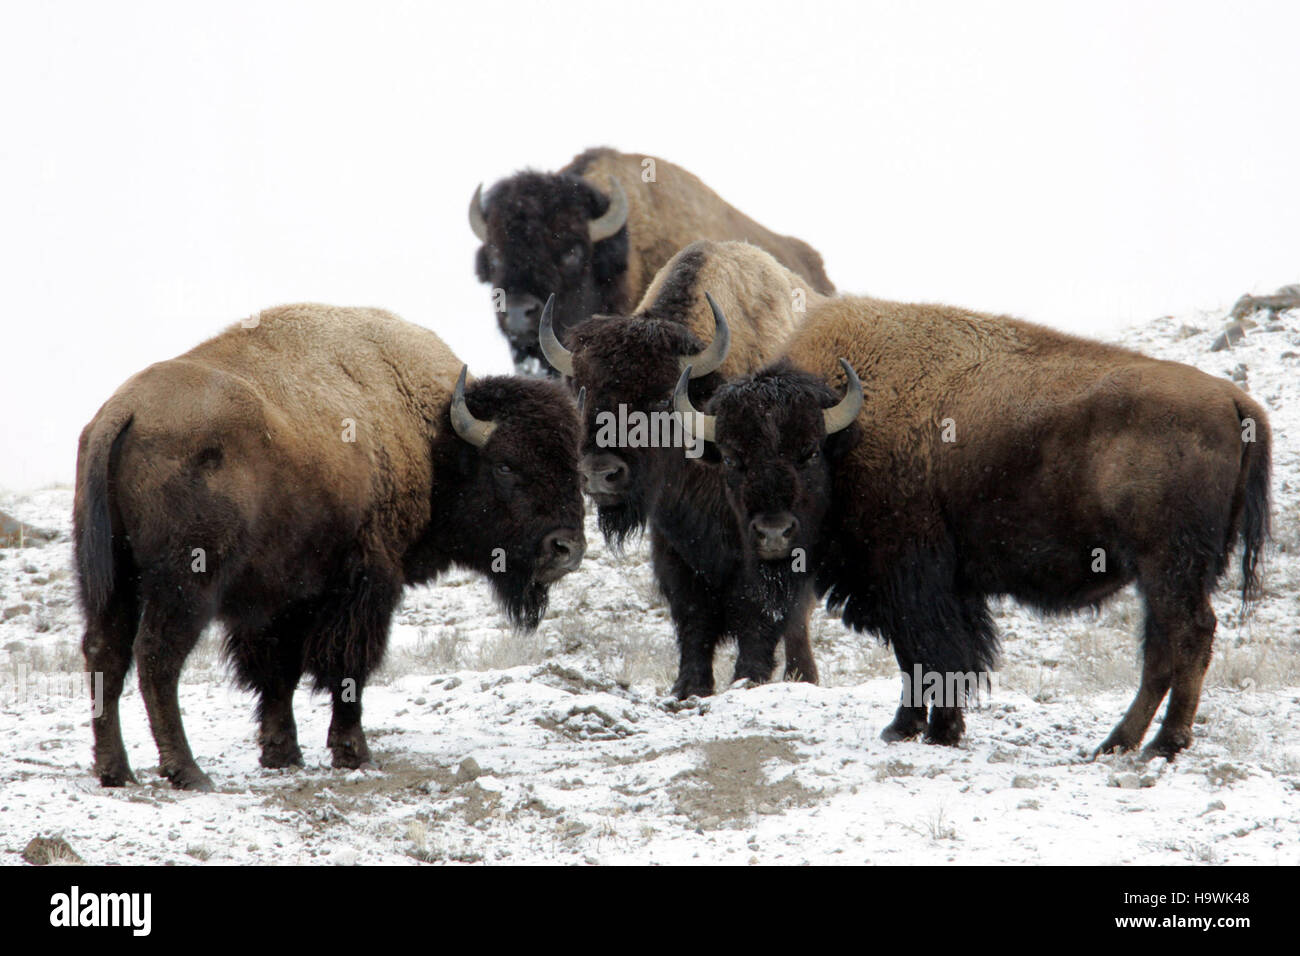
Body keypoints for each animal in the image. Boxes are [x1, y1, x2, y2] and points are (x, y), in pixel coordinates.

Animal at [74, 304, 586, 791]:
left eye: (574, 463)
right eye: (505, 465)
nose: (566, 549)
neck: (433, 436)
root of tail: (125, 412)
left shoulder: (278, 600)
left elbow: (277, 674)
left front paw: (282, 754)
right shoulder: (365, 585)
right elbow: (347, 669)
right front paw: (353, 753)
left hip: (110, 580)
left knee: (105, 655)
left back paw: (115, 771)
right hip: (184, 586)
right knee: (156, 659)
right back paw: (188, 772)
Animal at [540, 240, 828, 696]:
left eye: (660, 400)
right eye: (583, 390)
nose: (600, 474)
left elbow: (759, 611)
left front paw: (747, 678)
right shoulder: (673, 544)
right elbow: (692, 616)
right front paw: (688, 687)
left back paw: (803, 677)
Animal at [674, 295, 1271, 758]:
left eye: (807, 453)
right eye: (733, 459)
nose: (774, 534)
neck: (849, 431)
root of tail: (1233, 398)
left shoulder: (910, 580)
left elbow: (931, 651)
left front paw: (927, 730)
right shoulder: (931, 587)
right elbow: (928, 654)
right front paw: (918, 728)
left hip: (1169, 566)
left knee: (1187, 636)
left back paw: (1159, 745)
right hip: (1165, 574)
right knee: (1164, 647)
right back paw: (1119, 744)